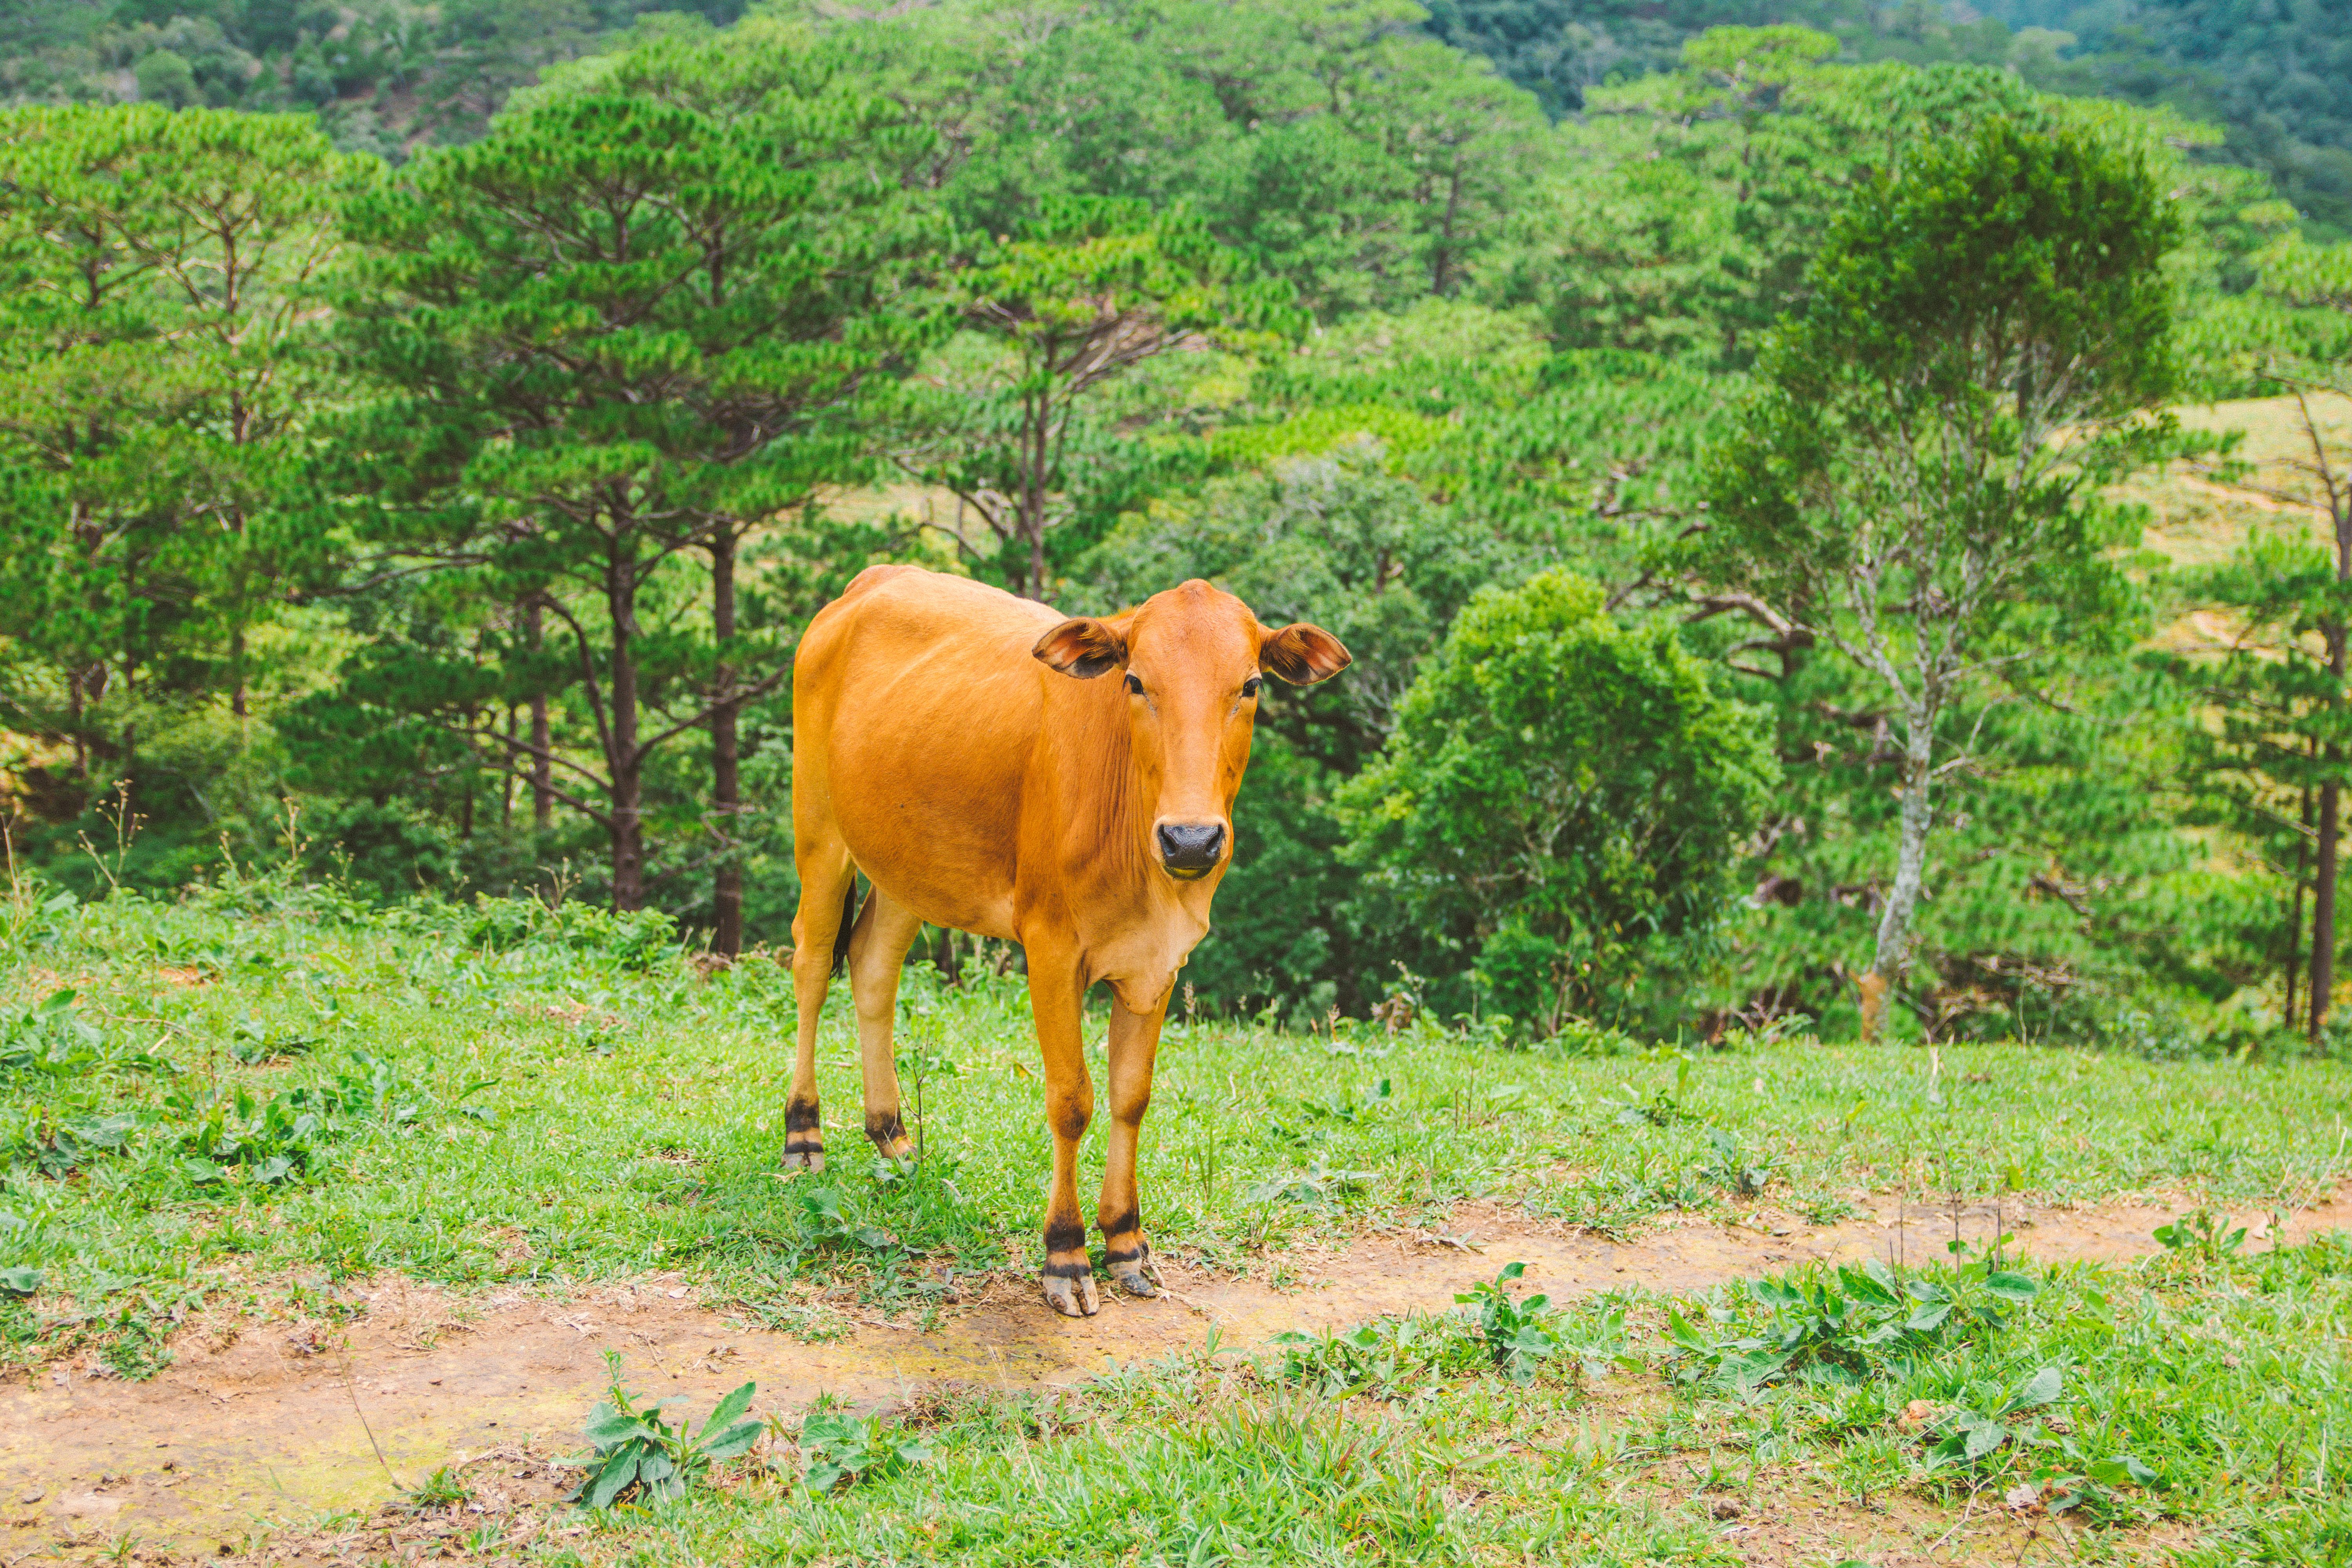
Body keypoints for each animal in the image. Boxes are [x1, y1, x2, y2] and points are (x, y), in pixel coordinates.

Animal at [783, 564, 1350, 1316]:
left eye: (1251, 685)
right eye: (1135, 680)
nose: (1191, 839)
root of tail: (870, 581)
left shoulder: (1158, 962)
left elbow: (1130, 1096)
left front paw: (1127, 1241)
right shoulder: (1050, 950)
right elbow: (1072, 1099)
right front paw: (1067, 1253)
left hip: (907, 865)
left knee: (873, 966)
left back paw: (895, 1140)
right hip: (819, 830)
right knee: (813, 964)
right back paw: (803, 1134)